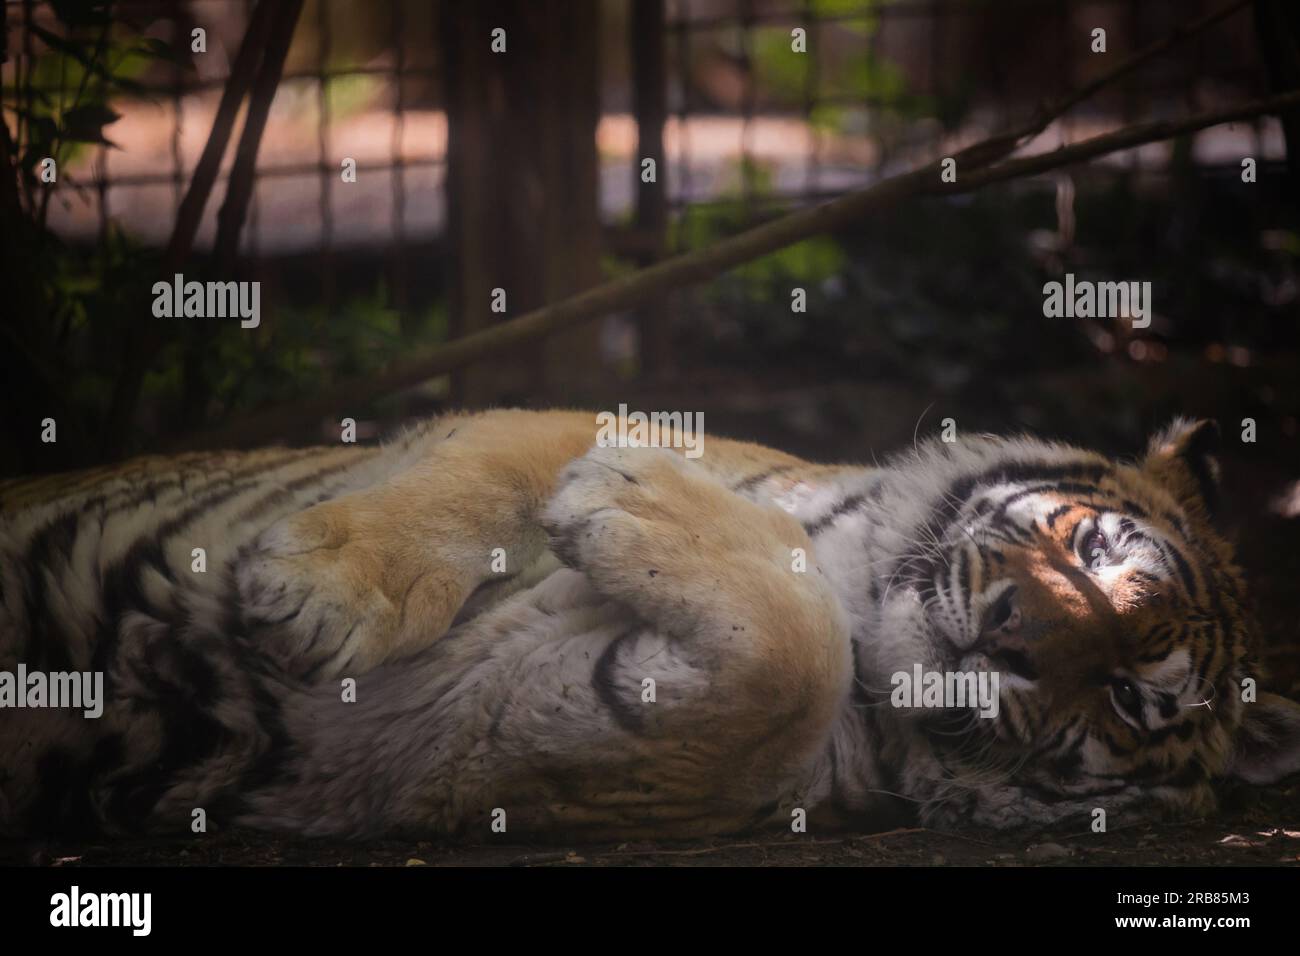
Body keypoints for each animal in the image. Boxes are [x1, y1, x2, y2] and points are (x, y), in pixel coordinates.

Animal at [1, 408, 1297, 840]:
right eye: (1087, 549)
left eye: (1132, 694)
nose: (1015, 632)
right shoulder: (529, 423)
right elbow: (474, 478)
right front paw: (324, 590)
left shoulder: (464, 744)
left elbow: (792, 654)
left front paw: (637, 504)